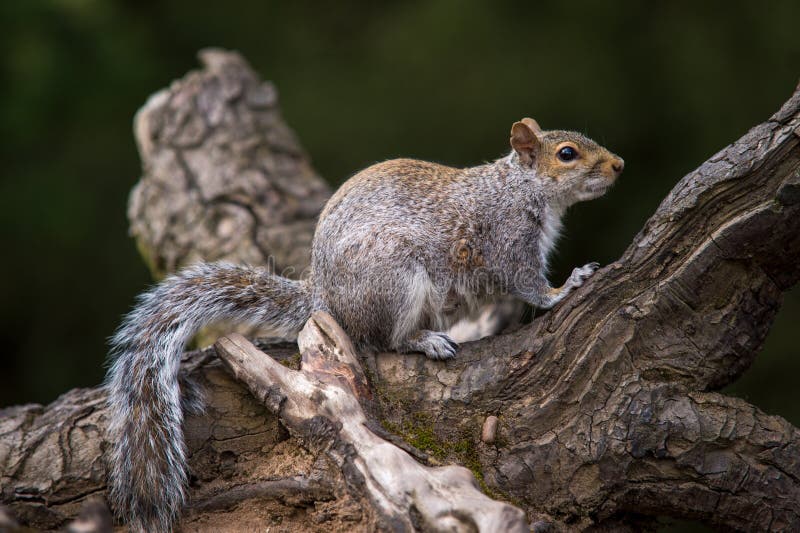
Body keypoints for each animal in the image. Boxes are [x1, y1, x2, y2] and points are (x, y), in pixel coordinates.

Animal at [106, 117, 623, 532]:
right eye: (568, 153)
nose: (619, 164)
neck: (519, 189)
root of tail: (325, 298)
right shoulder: (507, 241)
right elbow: (528, 284)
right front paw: (566, 287)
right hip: (395, 279)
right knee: (385, 339)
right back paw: (425, 341)